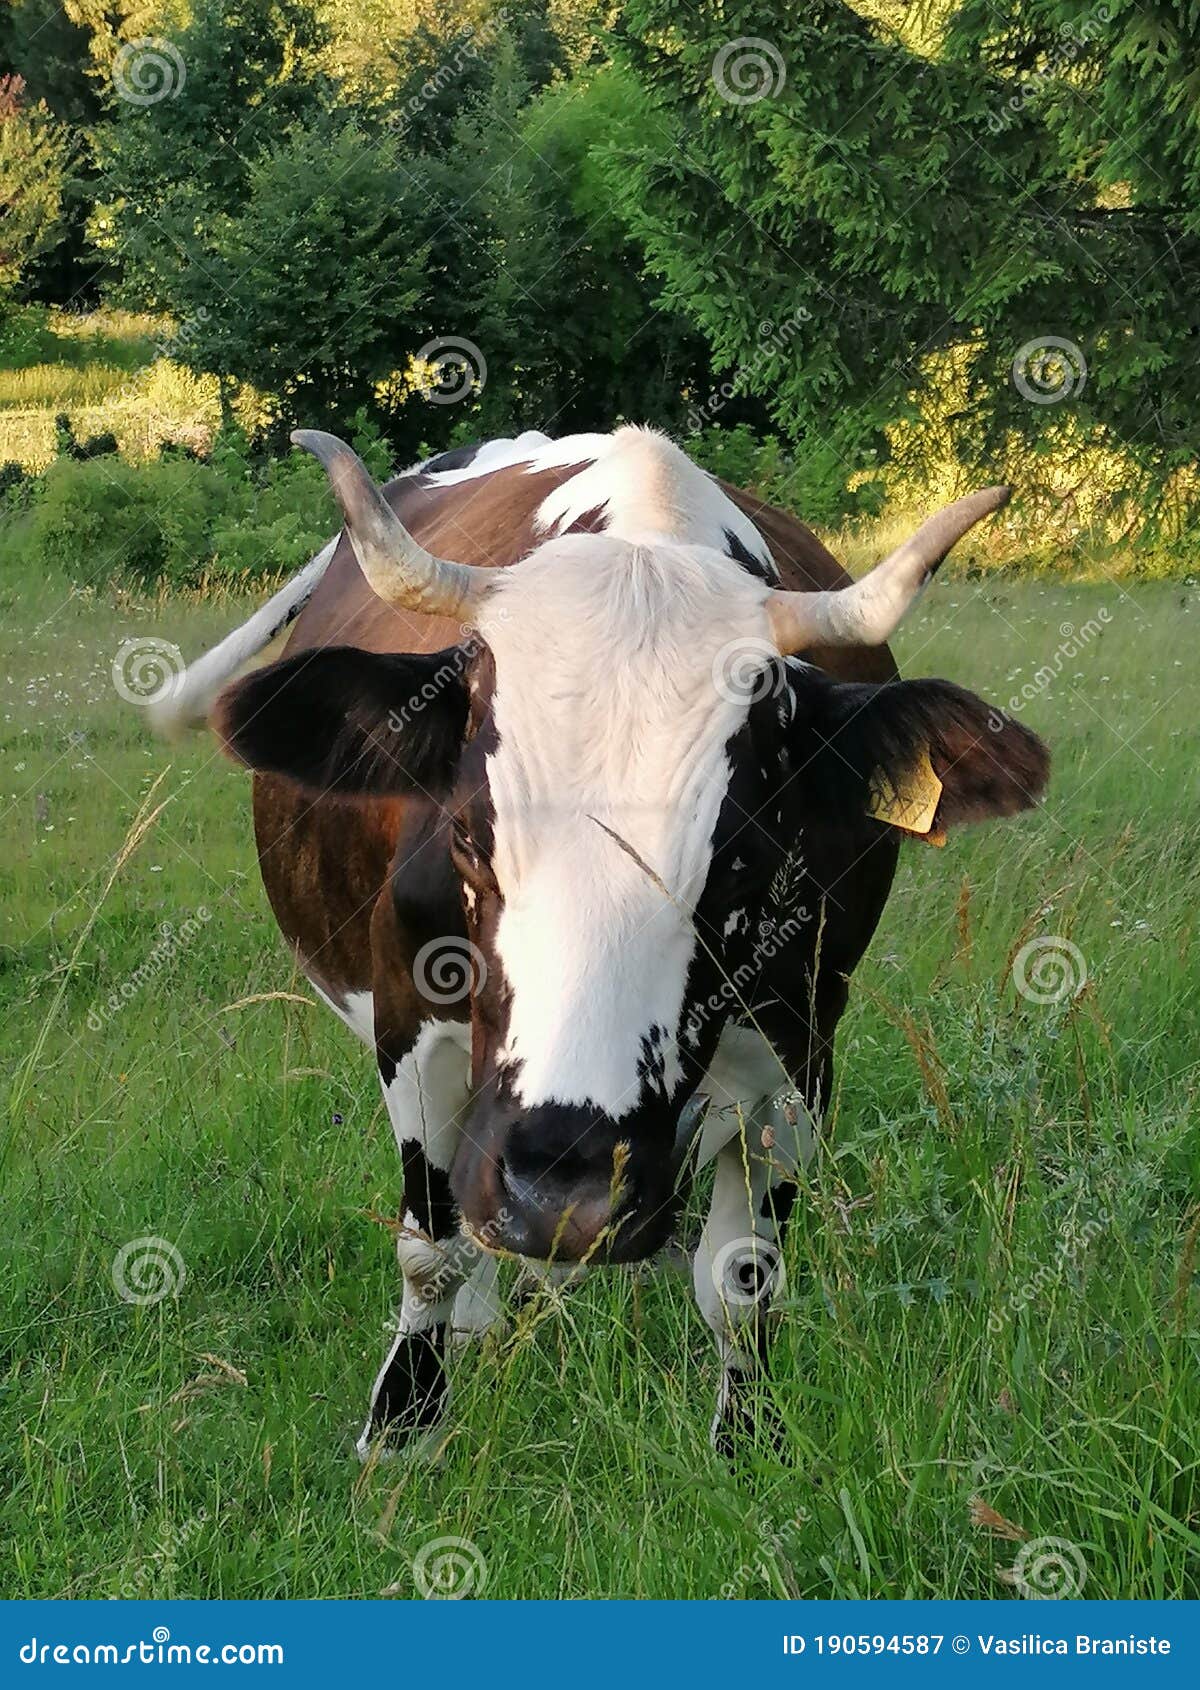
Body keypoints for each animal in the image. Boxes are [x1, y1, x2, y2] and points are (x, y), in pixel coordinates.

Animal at [153, 424, 1048, 1457]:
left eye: (743, 858)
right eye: (468, 834)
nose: (560, 1197)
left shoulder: (805, 1050)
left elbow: (742, 1278)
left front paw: (749, 1443)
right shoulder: (410, 1026)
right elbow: (432, 1248)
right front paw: (404, 1424)